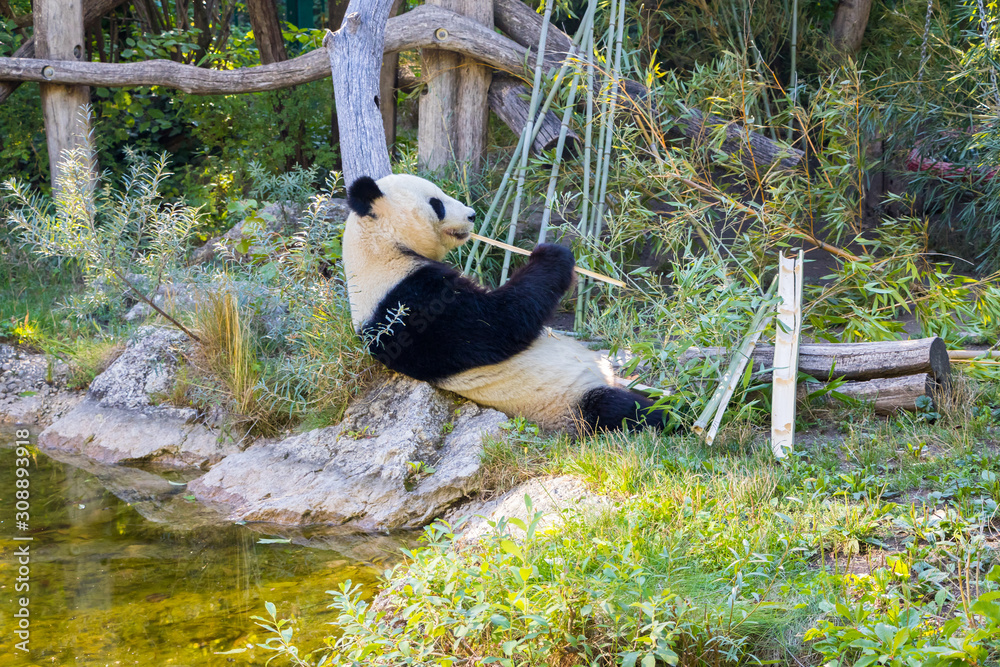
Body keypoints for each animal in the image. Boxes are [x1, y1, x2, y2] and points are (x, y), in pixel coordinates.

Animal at [342, 173, 665, 434]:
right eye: (437, 203)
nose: (472, 215)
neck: (379, 248)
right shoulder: (408, 305)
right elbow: (497, 323)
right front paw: (552, 254)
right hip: (565, 402)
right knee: (620, 411)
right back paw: (671, 415)